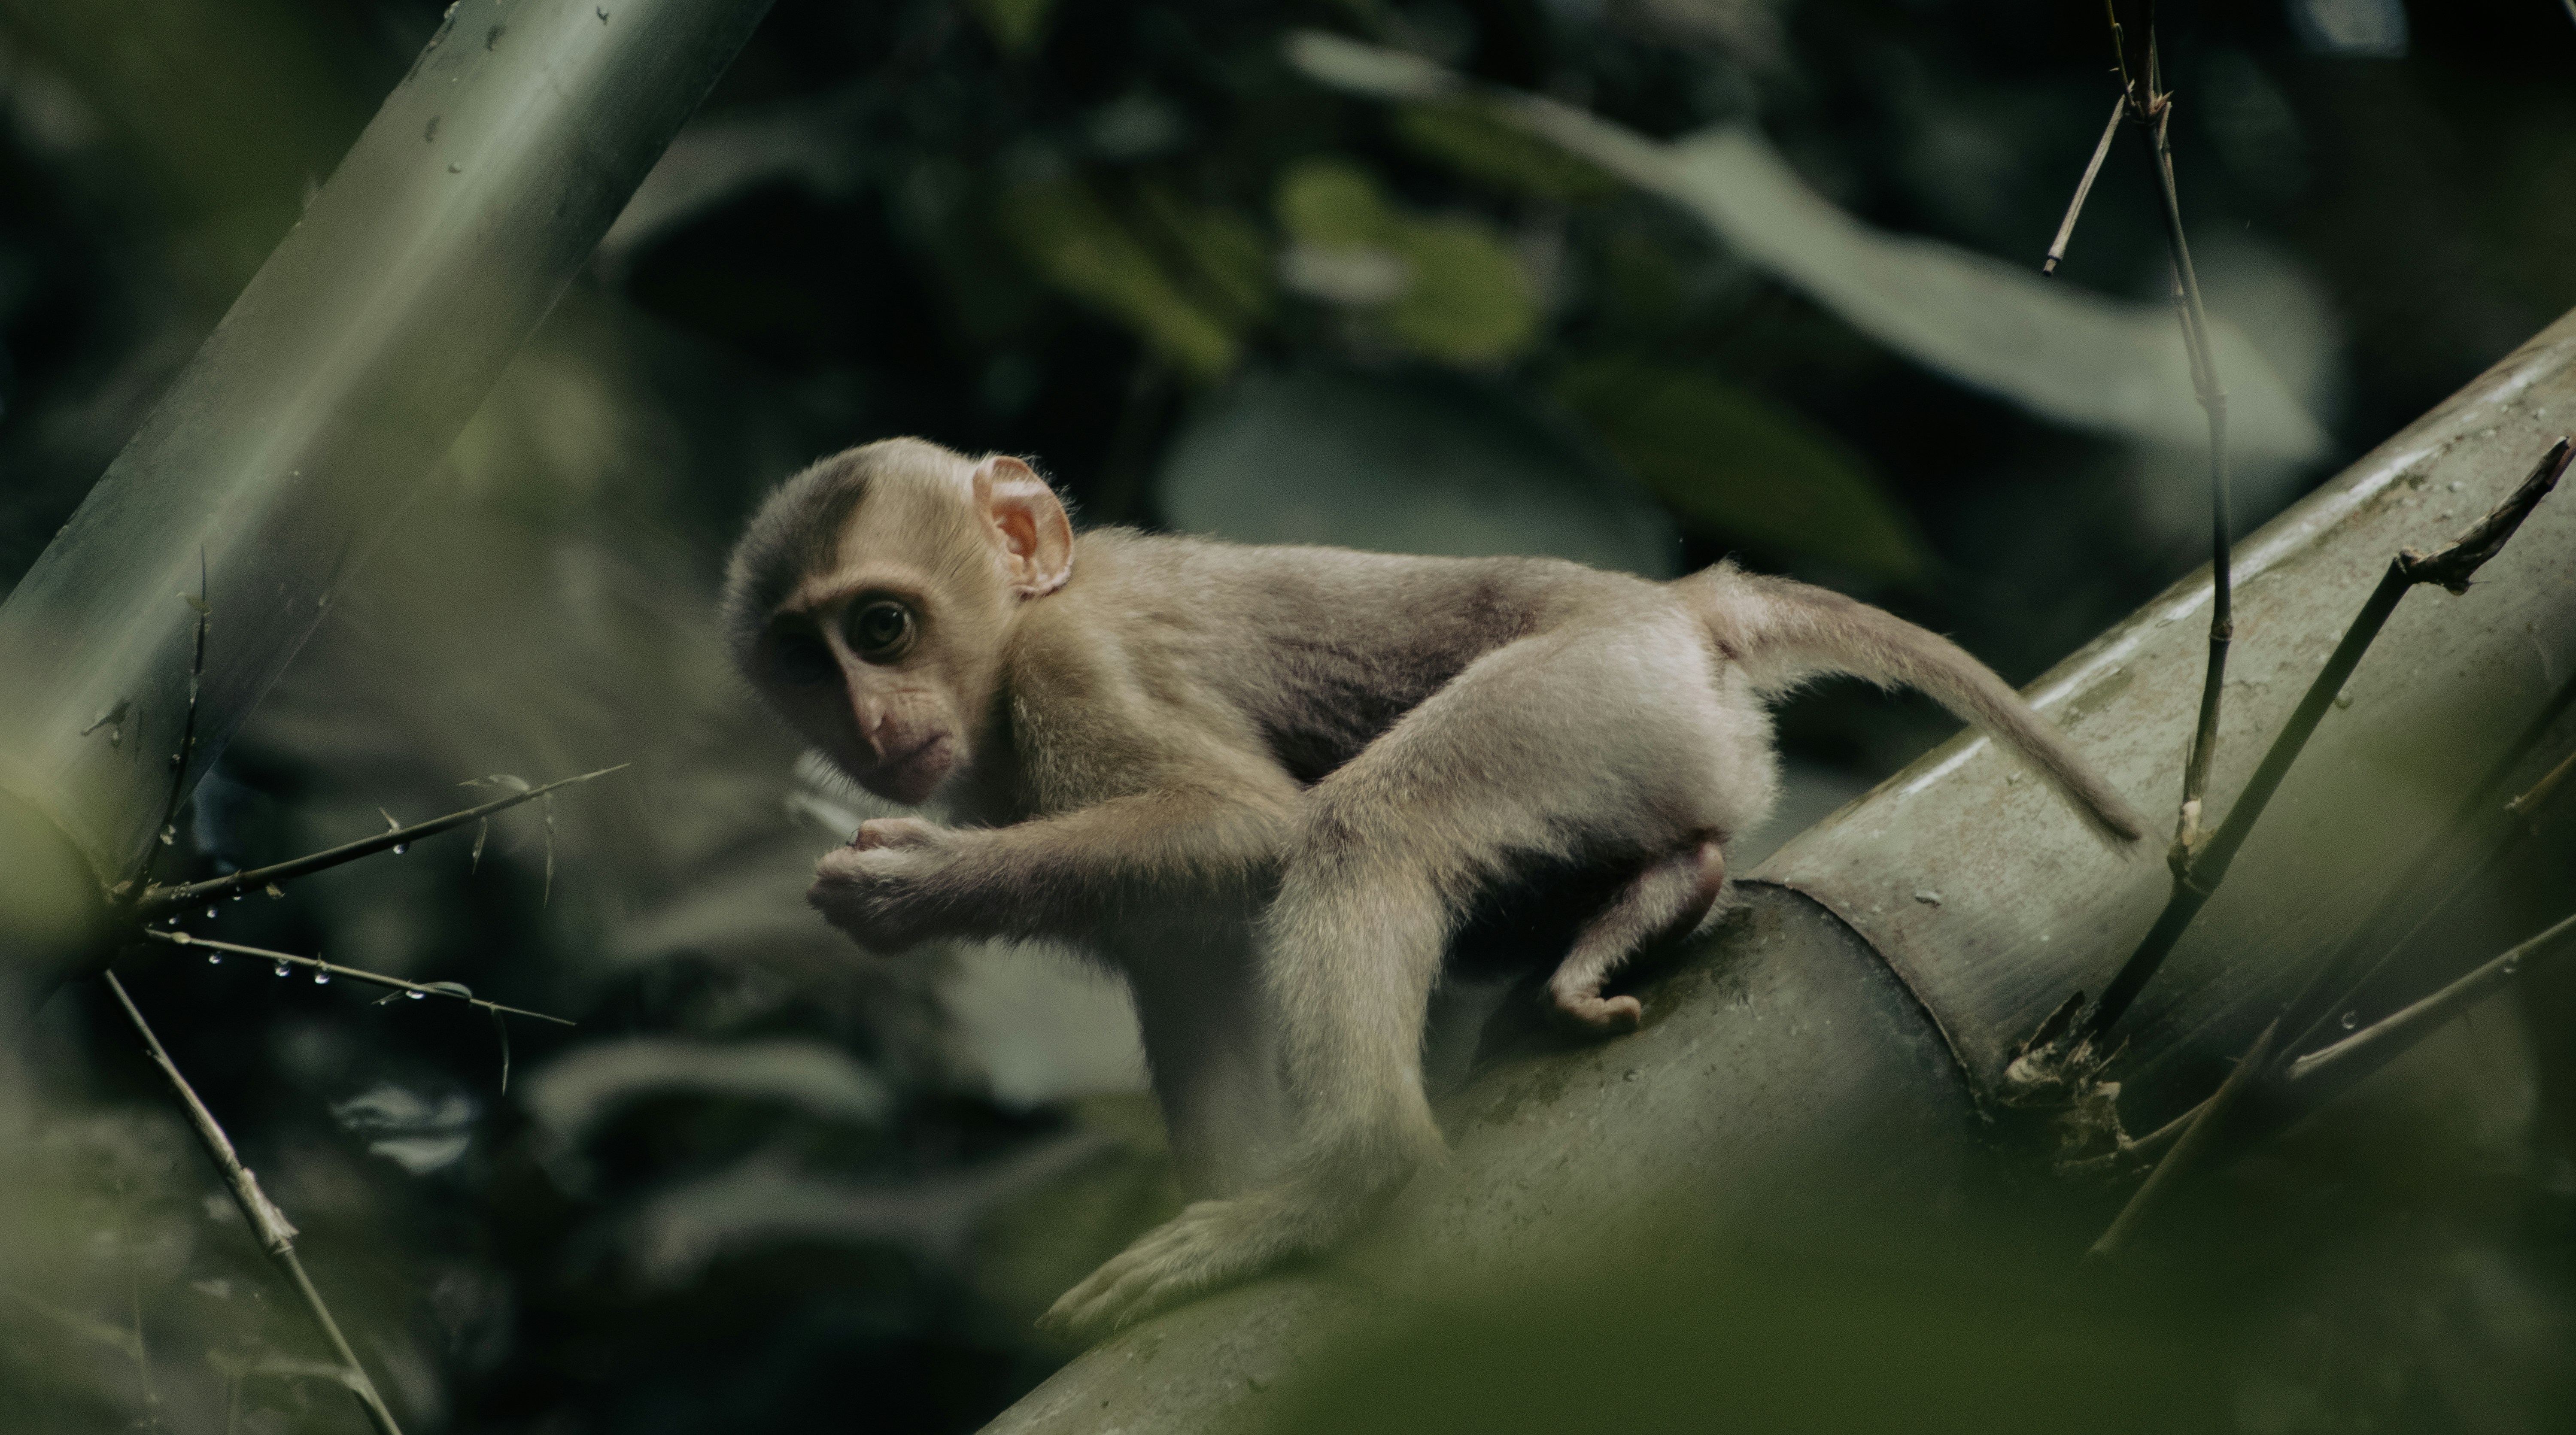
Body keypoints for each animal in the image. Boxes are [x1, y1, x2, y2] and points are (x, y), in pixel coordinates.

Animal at [721, 437, 2145, 1338]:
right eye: (804, 657)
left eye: (883, 625)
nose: (867, 720)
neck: (1018, 626)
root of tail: (1689, 606)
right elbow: (1187, 964)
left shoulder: (1072, 671)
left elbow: (1245, 830)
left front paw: (915, 887)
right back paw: (1657, 893)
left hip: (1589, 694)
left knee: (1362, 832)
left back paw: (1344, 1178)